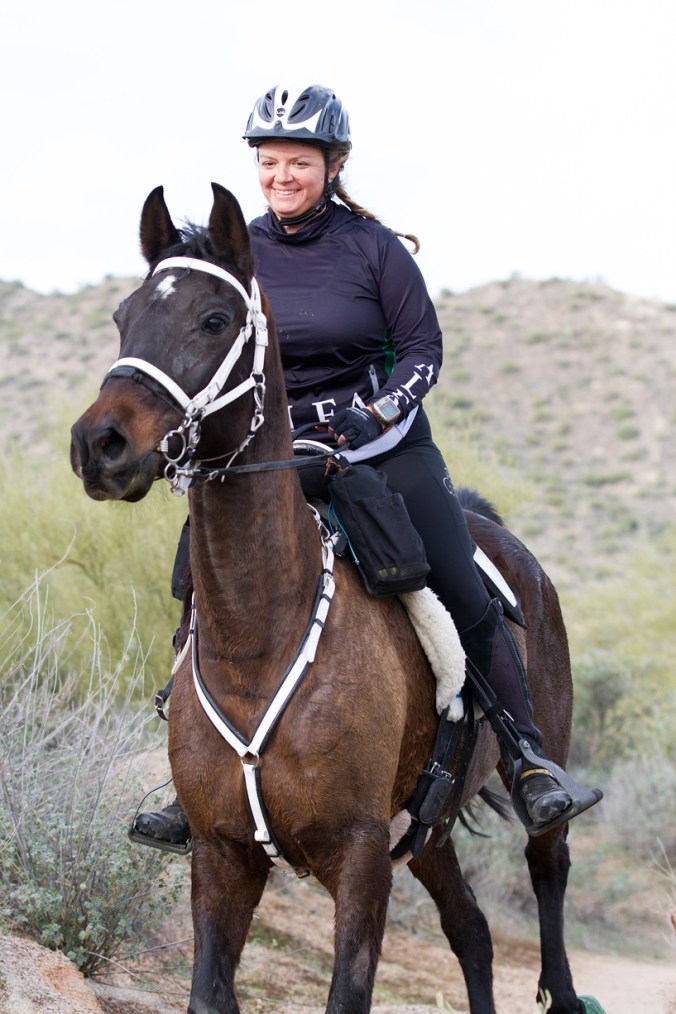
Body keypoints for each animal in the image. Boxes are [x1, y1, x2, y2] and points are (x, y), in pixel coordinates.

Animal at [70, 182, 600, 1014]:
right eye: (124, 316)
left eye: (214, 320)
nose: (101, 444)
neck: (262, 636)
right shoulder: (222, 855)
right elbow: (209, 992)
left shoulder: (358, 857)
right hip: (429, 832)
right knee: (473, 932)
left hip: (528, 798)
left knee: (549, 878)